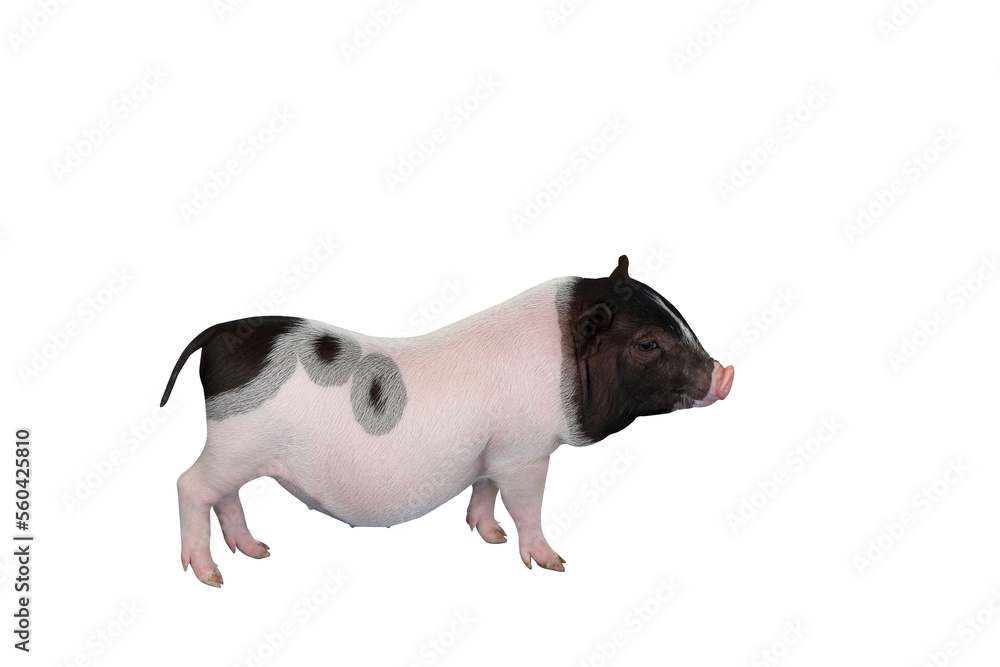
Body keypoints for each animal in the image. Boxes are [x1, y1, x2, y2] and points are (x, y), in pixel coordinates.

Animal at [160, 255, 734, 586]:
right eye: (647, 343)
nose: (726, 374)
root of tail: (219, 332)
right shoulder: (525, 452)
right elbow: (527, 506)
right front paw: (553, 564)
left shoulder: (492, 453)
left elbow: (484, 490)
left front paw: (490, 537)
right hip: (234, 443)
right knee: (190, 485)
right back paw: (211, 577)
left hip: (241, 451)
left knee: (224, 496)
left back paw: (258, 552)